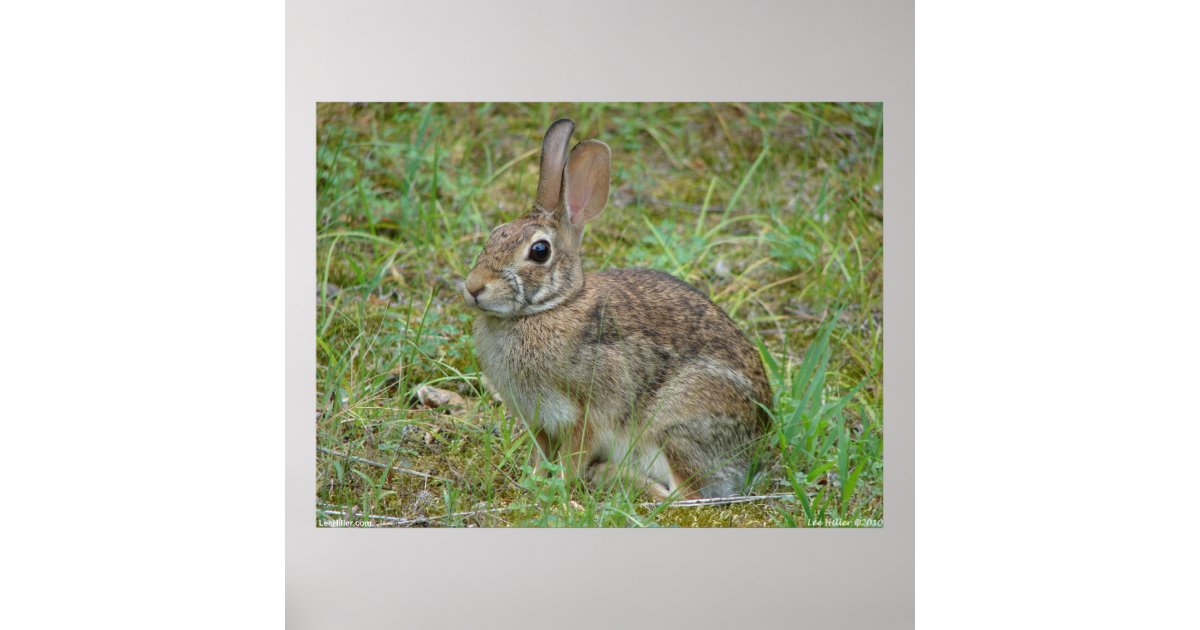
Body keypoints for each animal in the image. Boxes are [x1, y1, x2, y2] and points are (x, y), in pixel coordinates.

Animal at [462, 118, 772, 500]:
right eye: (495, 233)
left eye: (539, 251)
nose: (474, 286)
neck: (550, 307)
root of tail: (754, 450)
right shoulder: (540, 422)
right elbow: (540, 454)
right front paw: (530, 480)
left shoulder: (587, 413)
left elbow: (573, 457)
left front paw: (557, 488)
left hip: (674, 426)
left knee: (683, 496)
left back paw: (608, 475)